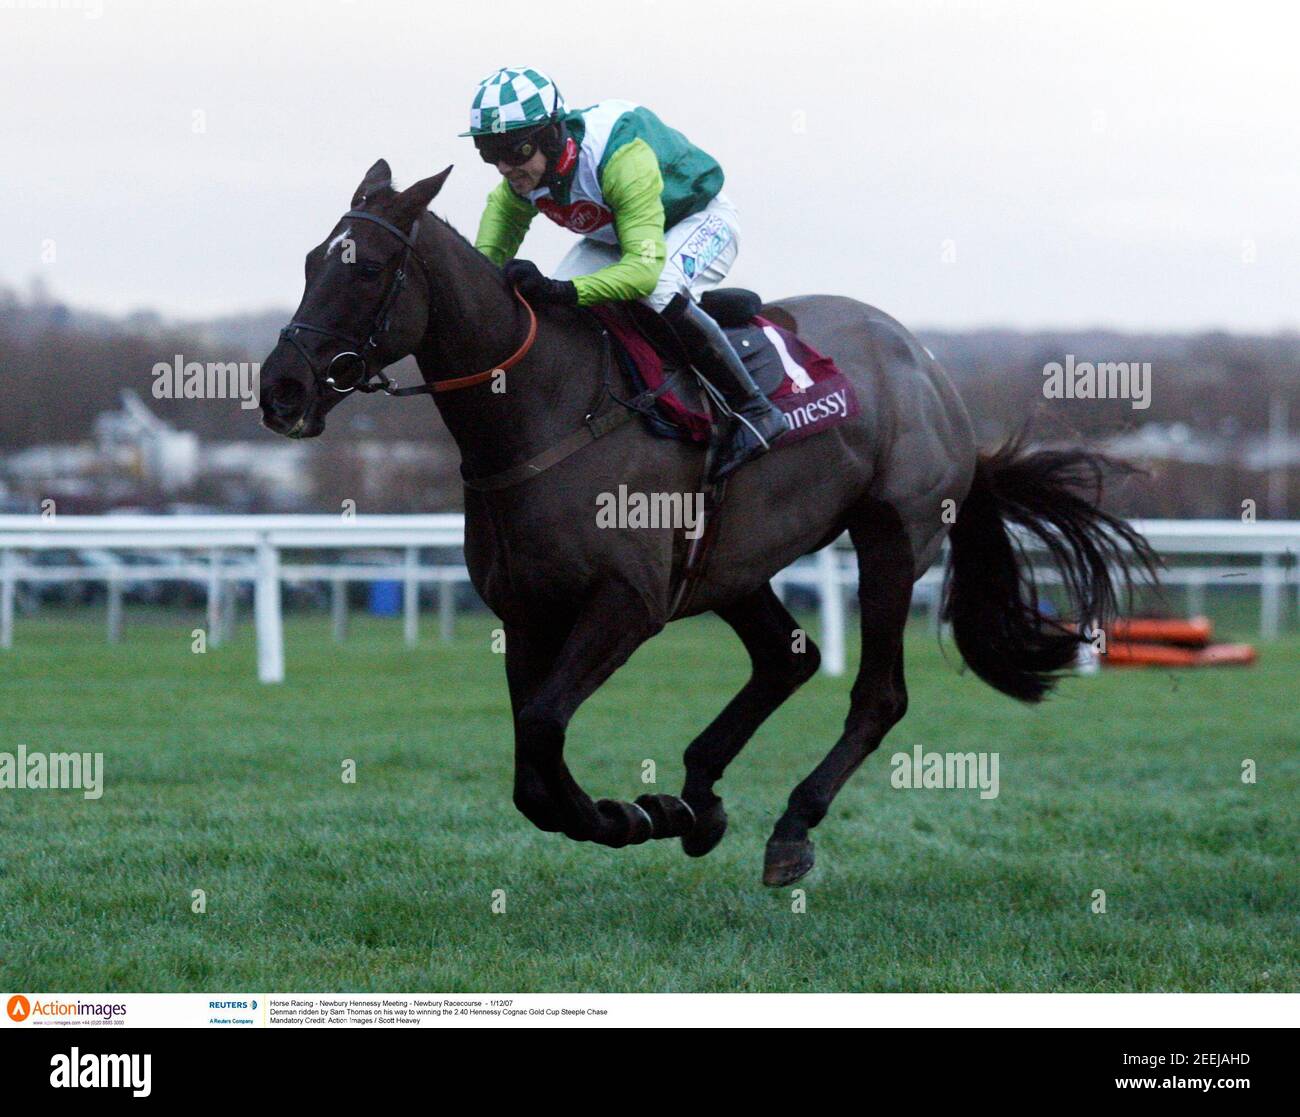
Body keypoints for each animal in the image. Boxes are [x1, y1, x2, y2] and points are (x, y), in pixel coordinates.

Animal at [258, 160, 1158, 886]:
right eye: (308, 262)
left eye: (371, 269)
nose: (282, 389)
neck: (544, 414)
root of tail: (933, 373)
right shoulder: (527, 611)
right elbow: (532, 771)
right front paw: (656, 811)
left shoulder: (627, 603)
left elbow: (544, 732)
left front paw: (630, 815)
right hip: (735, 561)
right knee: (789, 658)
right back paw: (701, 794)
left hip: (891, 539)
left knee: (877, 694)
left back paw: (790, 825)